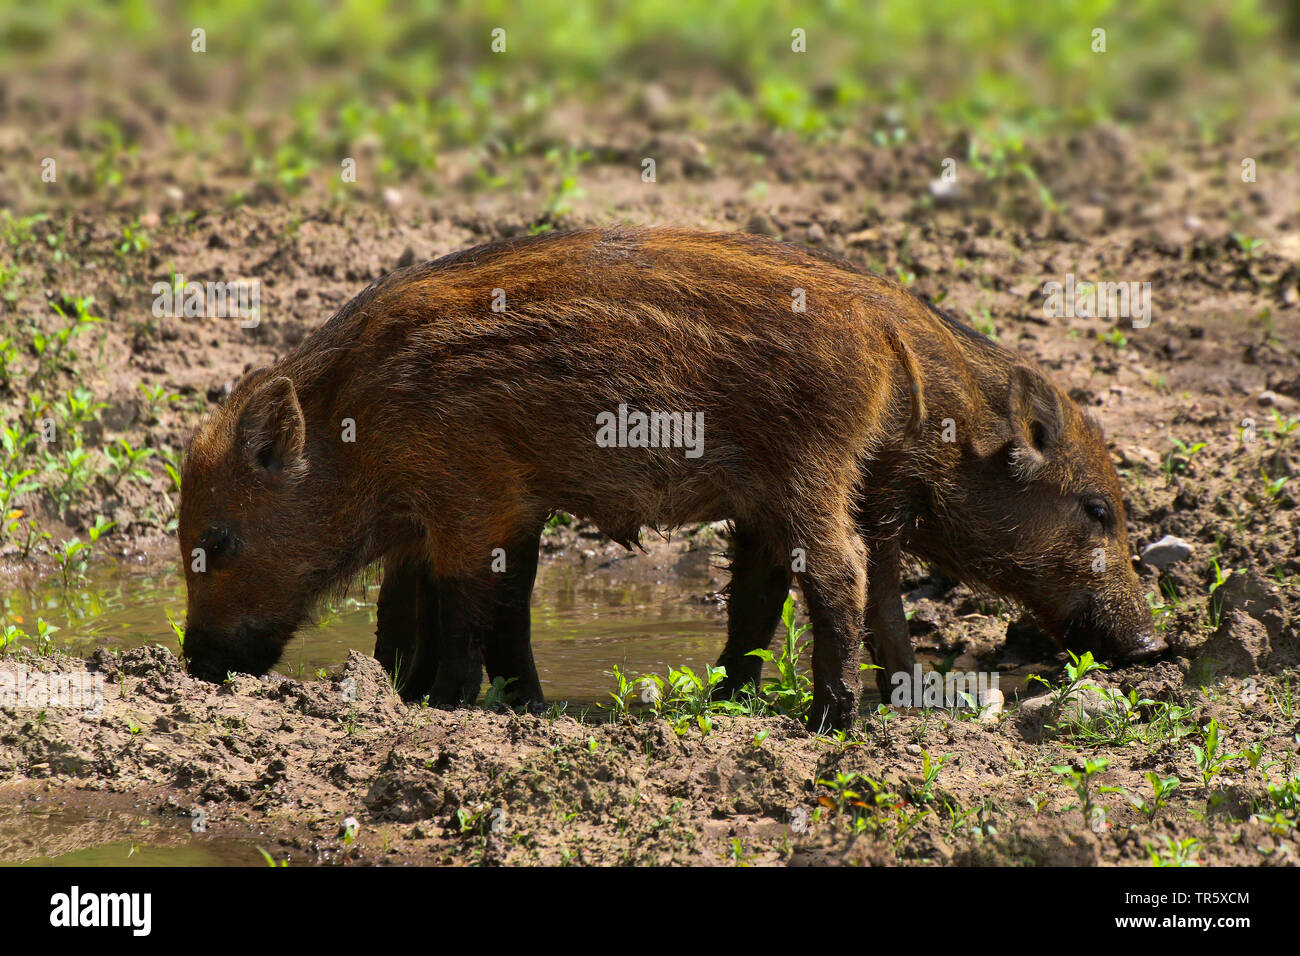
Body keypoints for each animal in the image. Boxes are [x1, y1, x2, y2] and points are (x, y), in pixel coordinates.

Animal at [178, 228, 1163, 732]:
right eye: (1096, 510)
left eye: (215, 541)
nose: (194, 667)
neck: (358, 426)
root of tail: (883, 340)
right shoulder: (497, 505)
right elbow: (480, 604)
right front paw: (486, 700)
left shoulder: (471, 498)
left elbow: (467, 604)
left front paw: (449, 704)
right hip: (795, 486)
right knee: (813, 586)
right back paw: (774, 702)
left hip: (809, 470)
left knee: (836, 573)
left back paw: (830, 719)